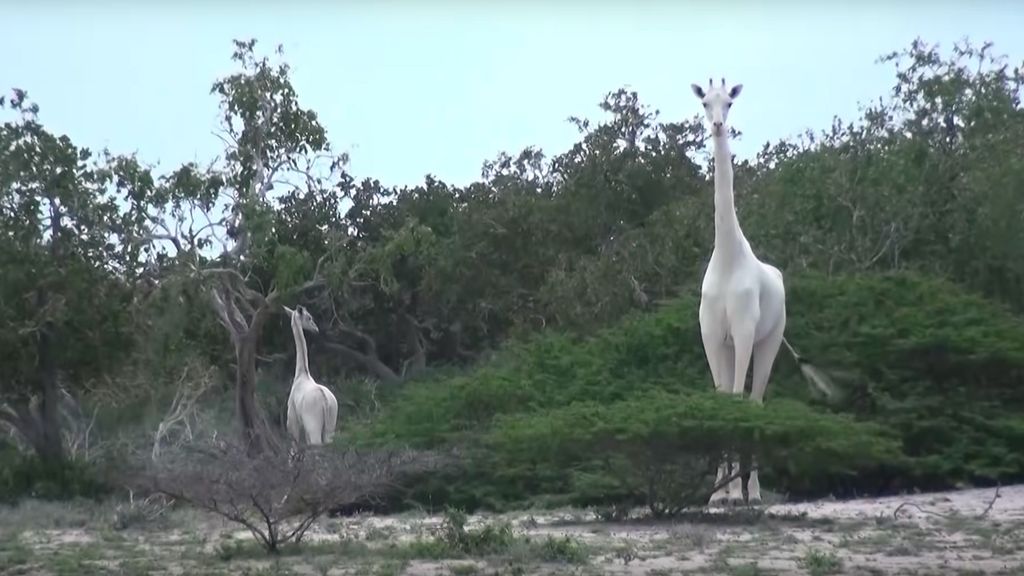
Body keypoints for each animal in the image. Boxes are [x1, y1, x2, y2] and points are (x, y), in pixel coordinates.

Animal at [283, 305, 338, 446]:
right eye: (309, 317)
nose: (316, 329)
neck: (301, 374)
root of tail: (325, 401)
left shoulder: (293, 422)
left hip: (313, 425)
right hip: (330, 426)